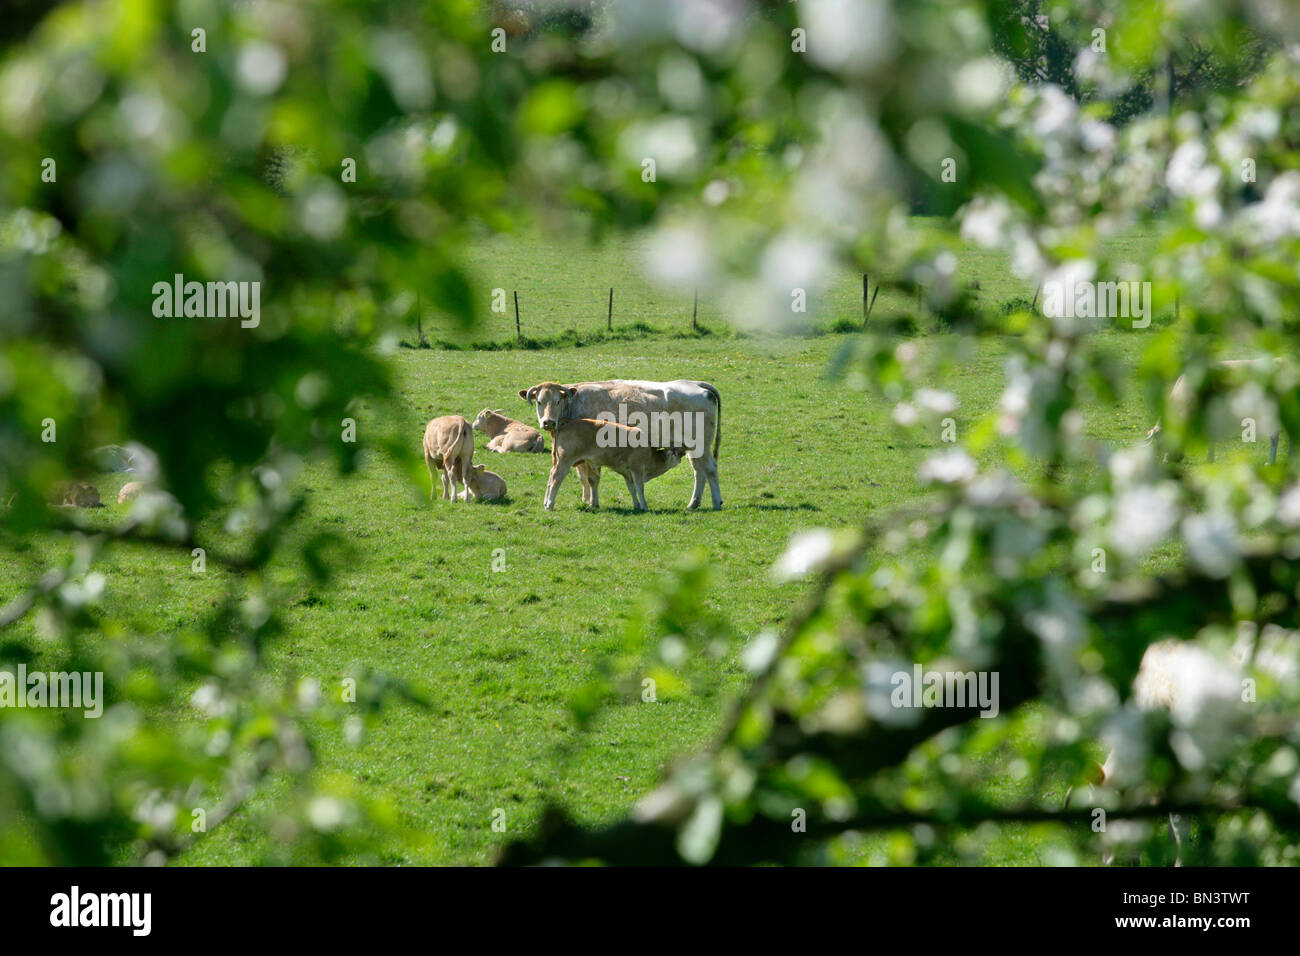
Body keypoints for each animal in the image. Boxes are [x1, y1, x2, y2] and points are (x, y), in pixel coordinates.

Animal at [542, 417, 685, 511]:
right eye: (676, 451)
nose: (682, 456)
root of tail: (565, 425)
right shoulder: (636, 469)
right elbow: (639, 488)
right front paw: (644, 507)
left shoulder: (627, 474)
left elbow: (632, 489)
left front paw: (636, 505)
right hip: (565, 461)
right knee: (556, 479)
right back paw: (550, 504)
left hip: (559, 461)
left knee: (550, 476)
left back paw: (545, 502)